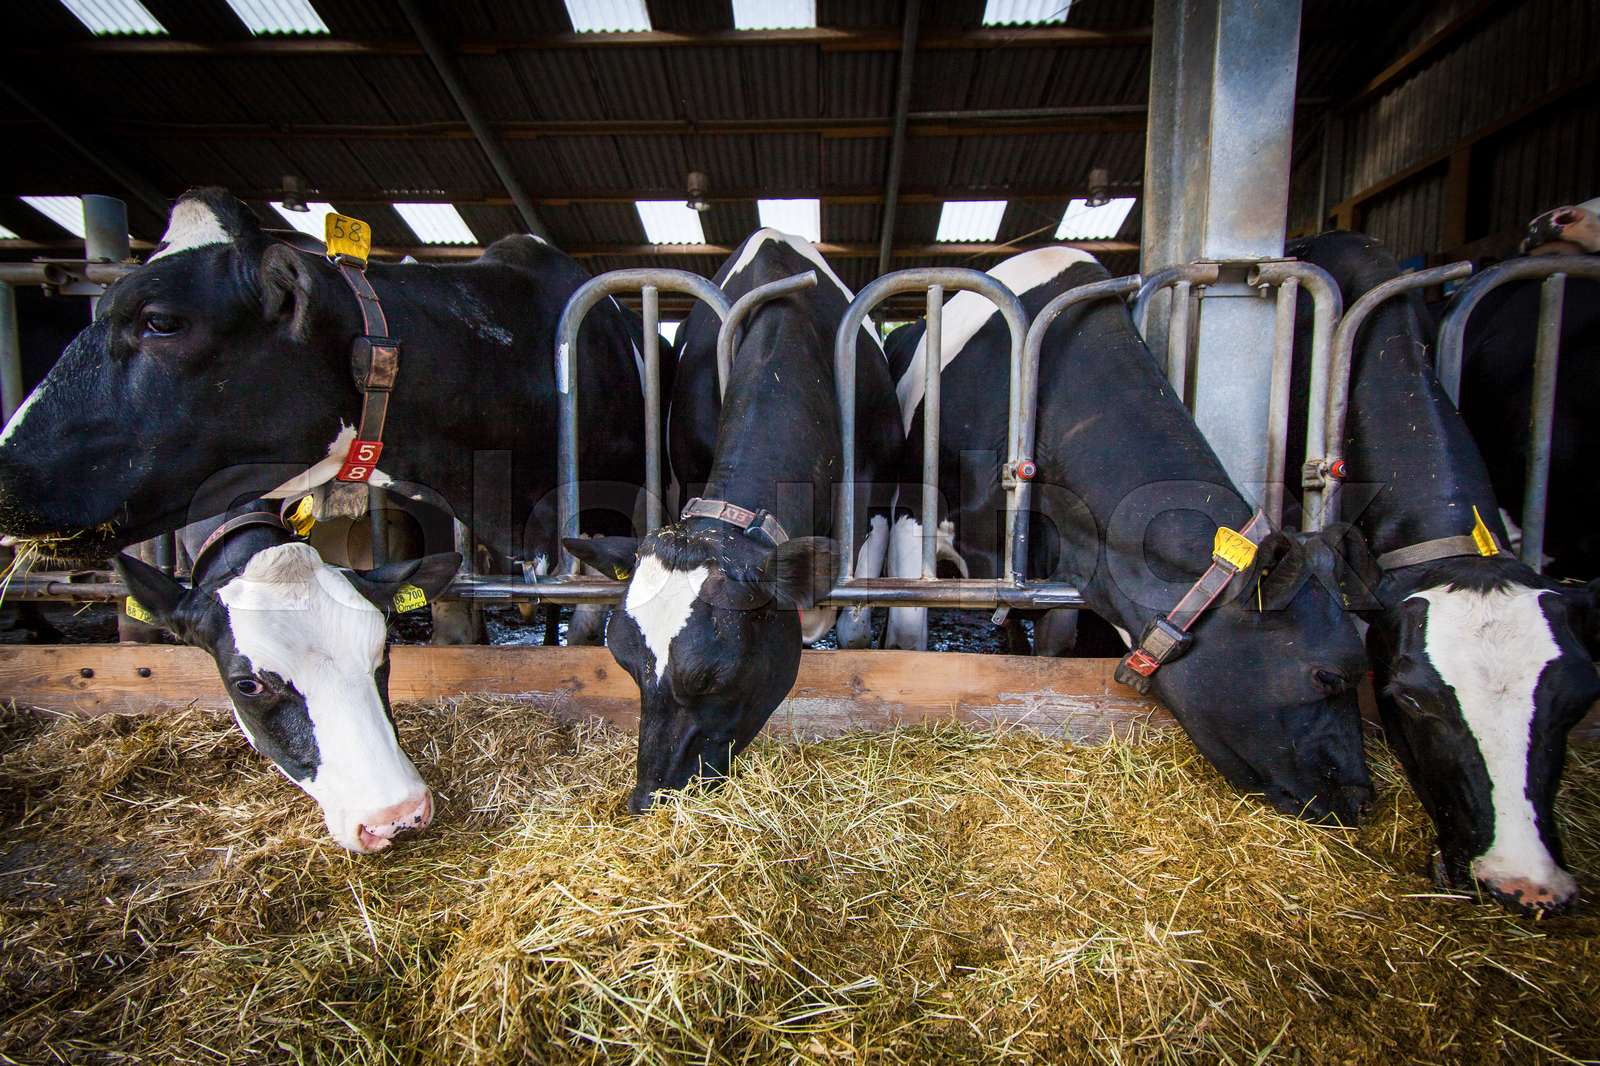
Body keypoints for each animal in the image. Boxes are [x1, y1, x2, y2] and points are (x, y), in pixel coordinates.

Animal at [879, 247, 1375, 825]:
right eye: (1328, 676)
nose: (1364, 798)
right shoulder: (914, 513)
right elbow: (909, 643)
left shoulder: (1057, 573)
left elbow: (1052, 653)